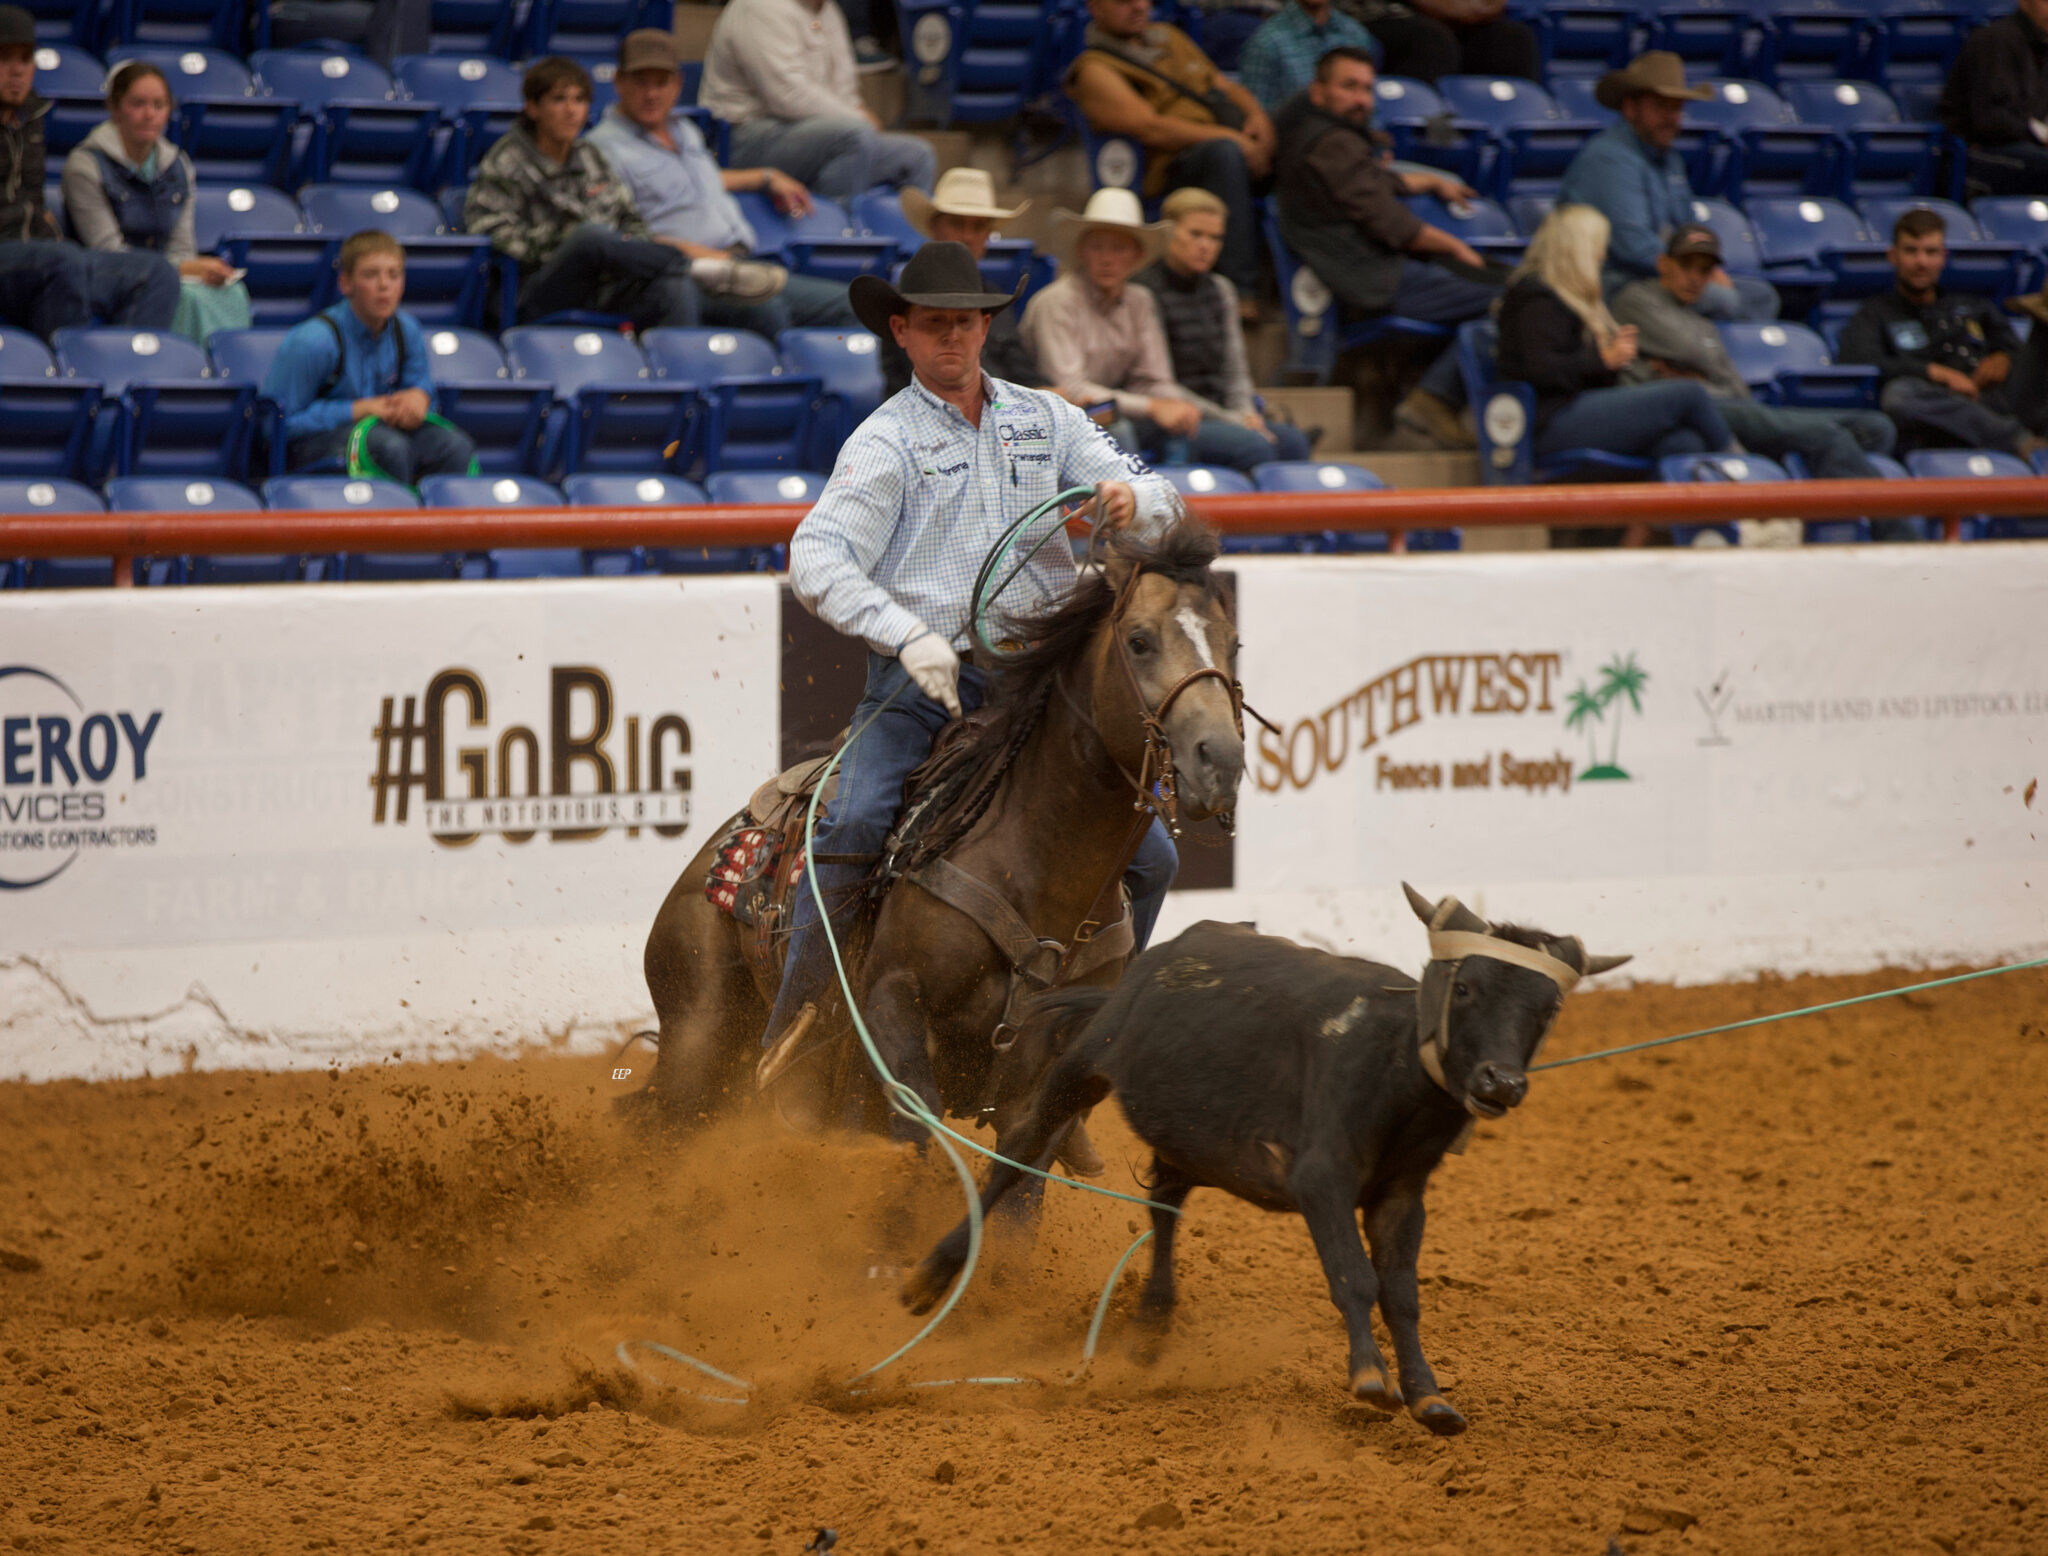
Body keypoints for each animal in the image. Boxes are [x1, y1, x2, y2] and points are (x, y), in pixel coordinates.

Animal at [621, 516, 1247, 1145]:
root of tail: (712, 859)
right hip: (696, 1043)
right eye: (1140, 641)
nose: (1220, 758)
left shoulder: (1037, 1091)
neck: (1034, 863)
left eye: (1233, 644)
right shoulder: (891, 1014)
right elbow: (919, 1134)